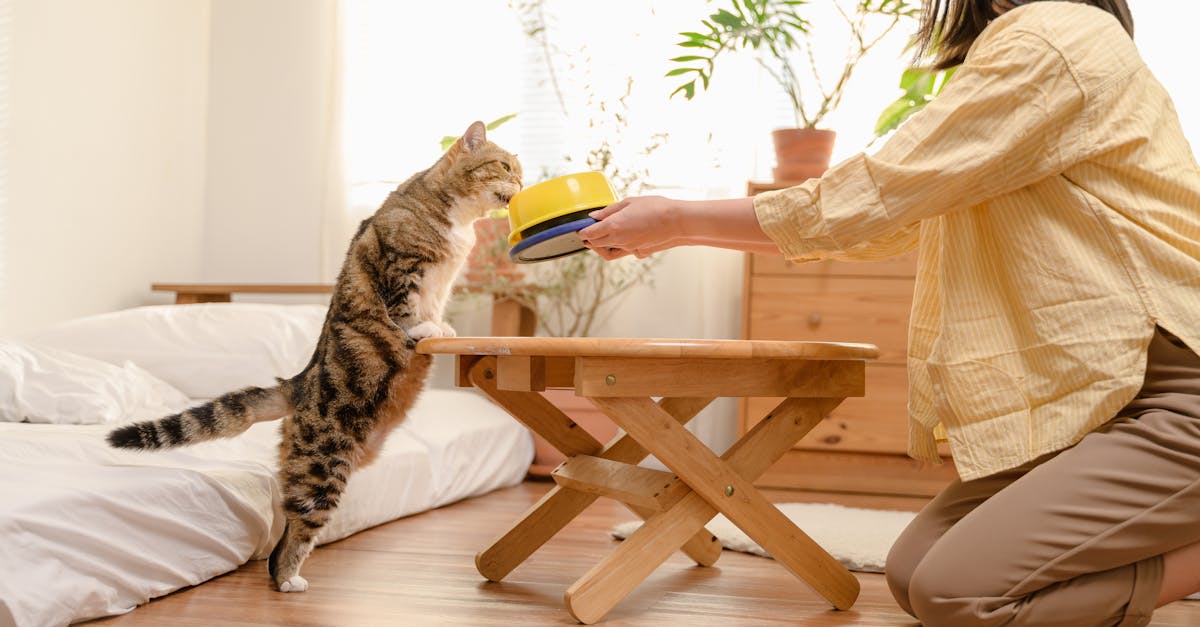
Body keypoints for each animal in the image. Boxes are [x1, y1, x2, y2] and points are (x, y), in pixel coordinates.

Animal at [110, 120, 523, 590]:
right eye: (504, 166)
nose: (522, 183)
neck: (459, 222)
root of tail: (299, 382)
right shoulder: (400, 266)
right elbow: (405, 309)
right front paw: (423, 330)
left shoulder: (440, 283)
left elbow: (434, 307)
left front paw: (442, 328)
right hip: (324, 465)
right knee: (292, 535)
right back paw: (289, 580)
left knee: (283, 534)